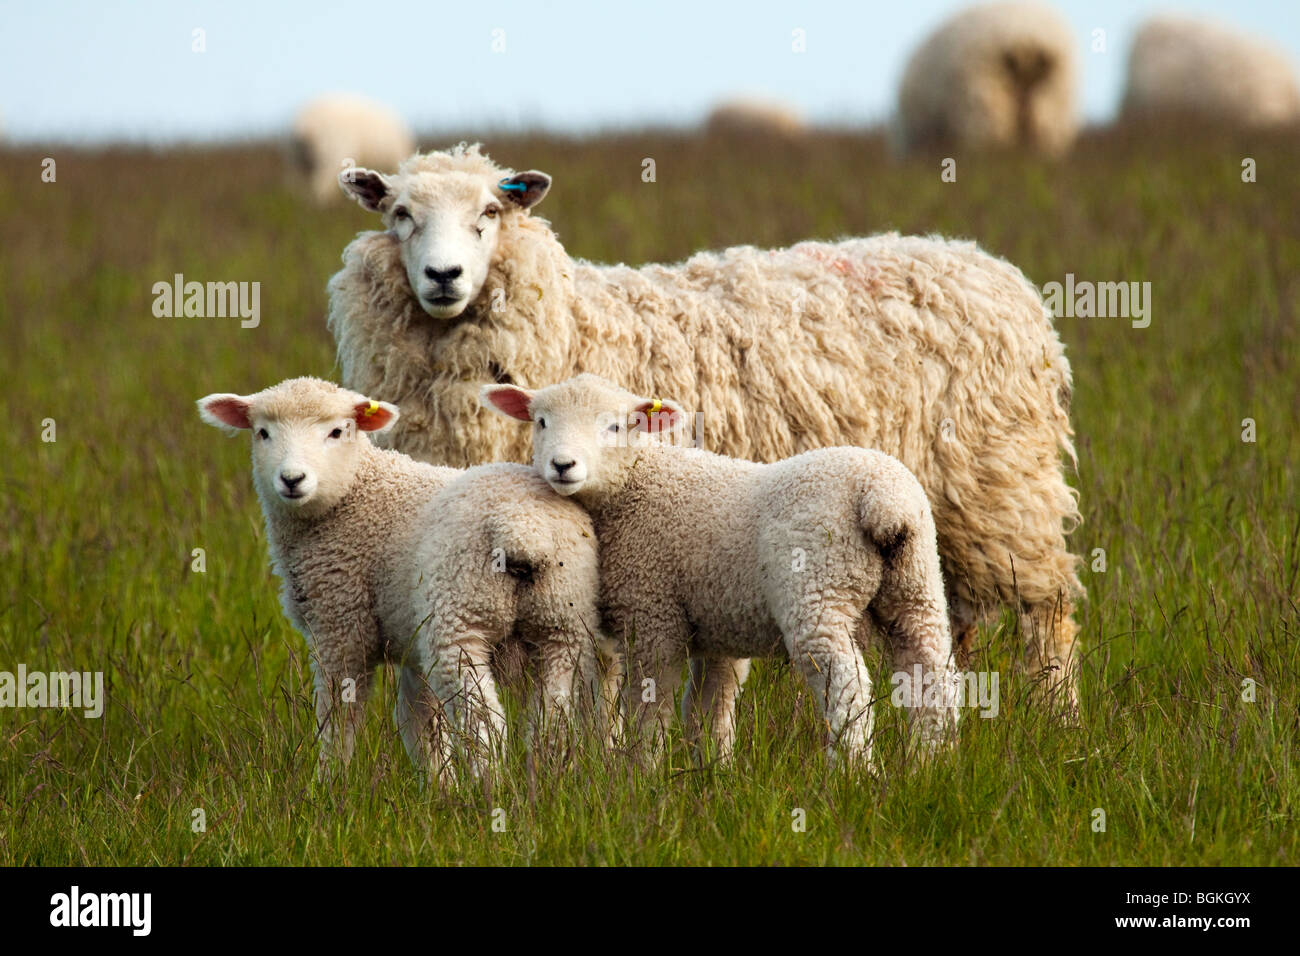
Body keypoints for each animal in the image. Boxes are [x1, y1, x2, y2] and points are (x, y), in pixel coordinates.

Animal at [197, 376, 611, 780]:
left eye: (337, 431)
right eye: (263, 433)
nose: (292, 479)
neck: (357, 492)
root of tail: (523, 528)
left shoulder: (340, 625)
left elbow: (338, 717)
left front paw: (329, 784)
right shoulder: (413, 641)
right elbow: (420, 722)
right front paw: (439, 784)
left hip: (459, 622)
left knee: (484, 724)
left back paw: (489, 790)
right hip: (562, 621)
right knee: (551, 721)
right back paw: (546, 782)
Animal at [326, 142, 1084, 716]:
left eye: (490, 212)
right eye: (399, 213)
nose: (444, 276)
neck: (571, 322)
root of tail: (985, 264)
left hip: (1004, 495)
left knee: (1048, 615)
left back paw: (1060, 720)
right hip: (947, 523)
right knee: (956, 626)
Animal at [482, 374, 961, 765]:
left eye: (615, 427)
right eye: (541, 422)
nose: (563, 466)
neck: (636, 484)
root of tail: (883, 499)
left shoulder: (652, 614)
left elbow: (650, 705)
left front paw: (641, 774)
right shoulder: (717, 630)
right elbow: (710, 707)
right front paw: (713, 772)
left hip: (818, 590)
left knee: (847, 684)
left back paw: (853, 771)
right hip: (916, 582)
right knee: (931, 671)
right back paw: (928, 763)